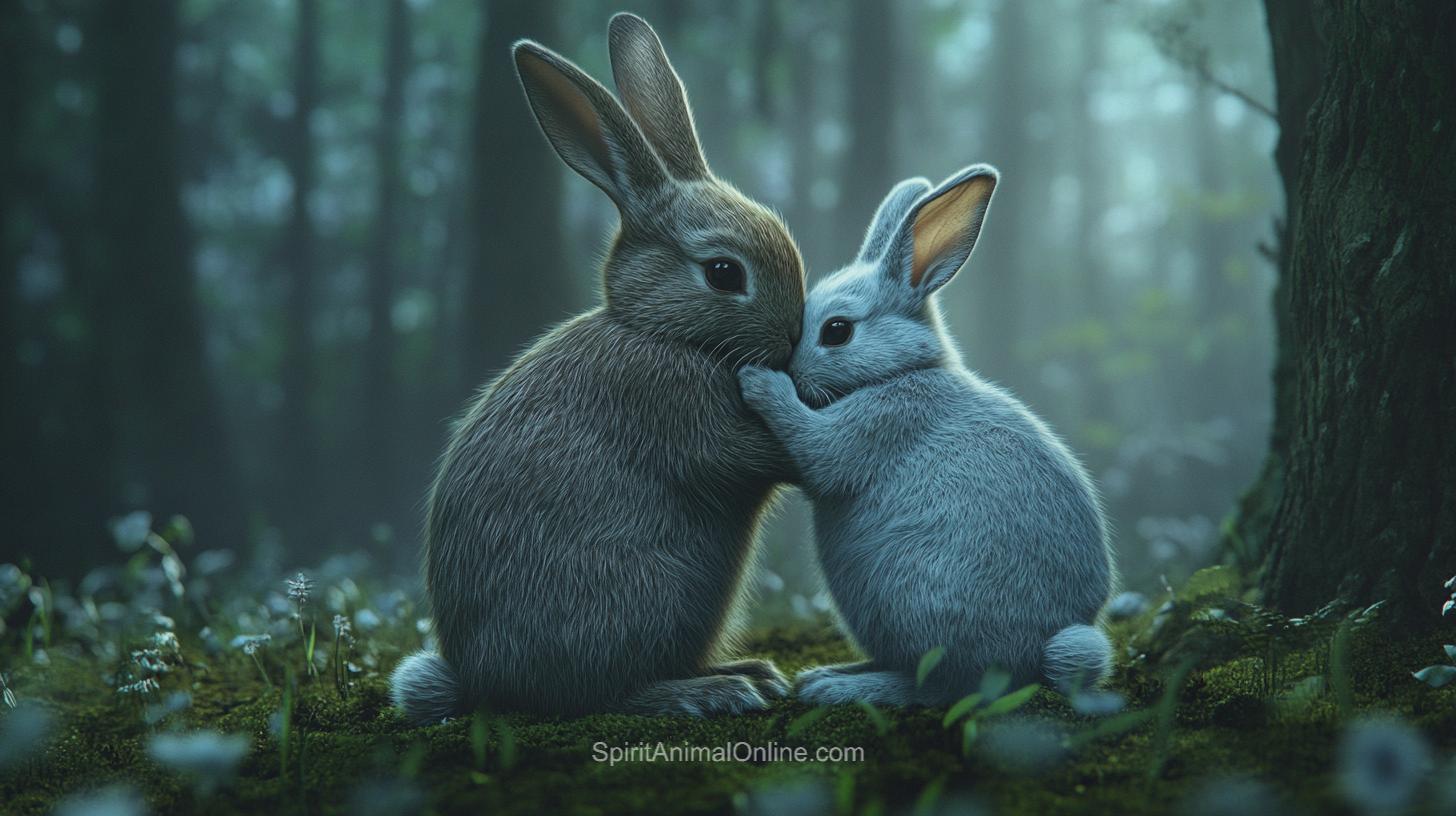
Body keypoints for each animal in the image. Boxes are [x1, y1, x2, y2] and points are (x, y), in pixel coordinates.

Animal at [390, 13, 805, 724]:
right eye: (725, 273)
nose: (795, 336)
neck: (658, 330)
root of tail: (479, 679)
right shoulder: (675, 409)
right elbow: (746, 451)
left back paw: (745, 672)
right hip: (636, 596)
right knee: (601, 694)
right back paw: (712, 692)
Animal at [737, 166, 1115, 707]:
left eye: (836, 331)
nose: (787, 366)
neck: (899, 371)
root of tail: (1040, 652)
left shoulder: (873, 426)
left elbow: (811, 445)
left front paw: (759, 381)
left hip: (921, 603)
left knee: (946, 686)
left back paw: (840, 687)